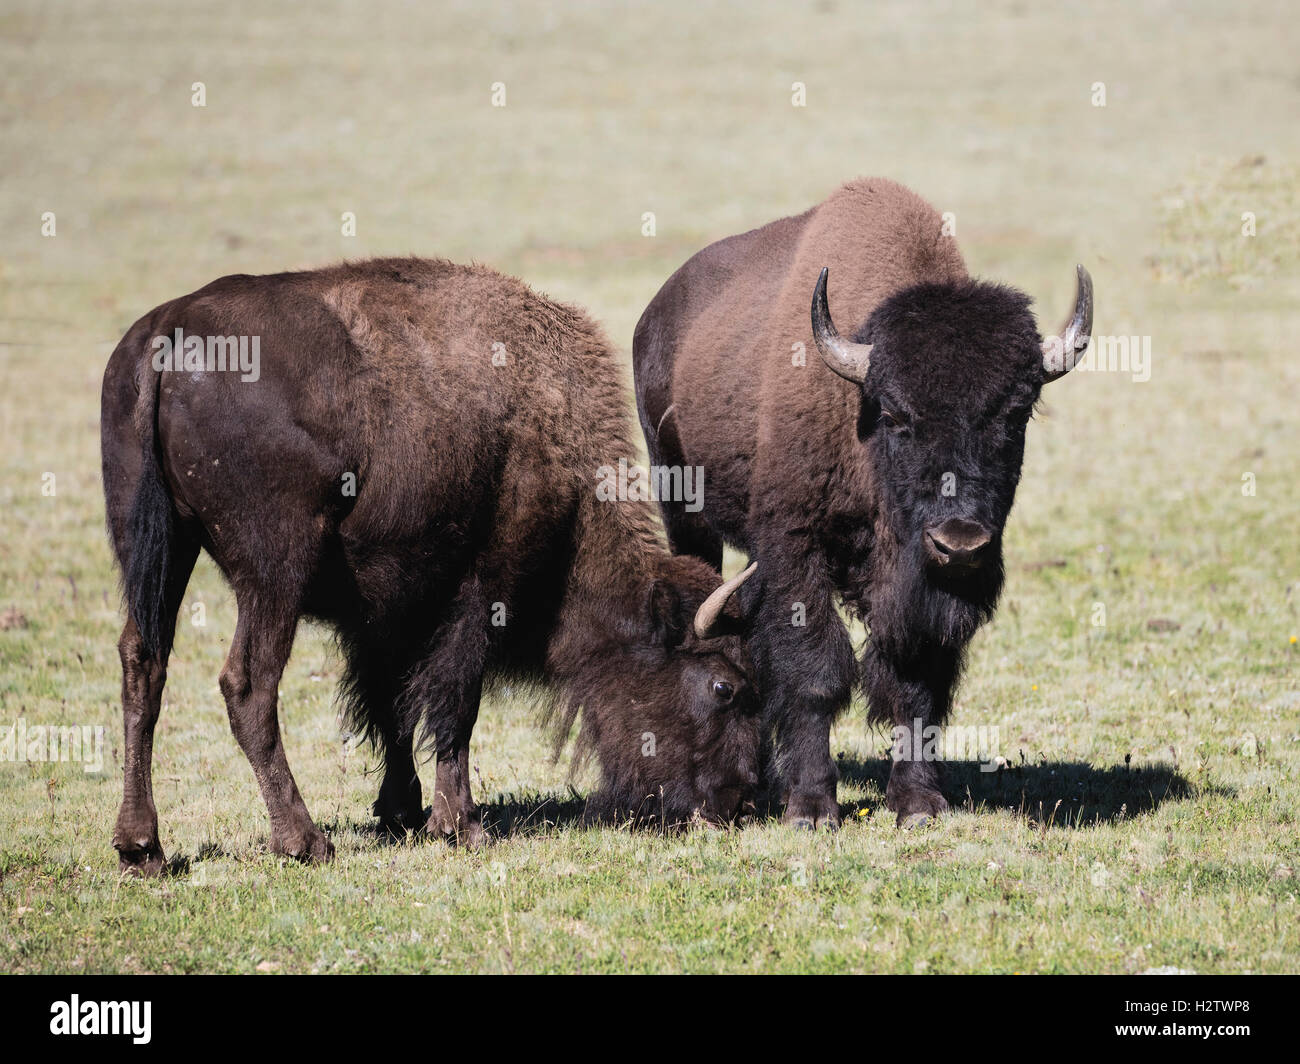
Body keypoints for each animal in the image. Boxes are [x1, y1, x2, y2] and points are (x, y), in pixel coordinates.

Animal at [102, 257, 760, 874]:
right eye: (723, 687)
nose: (737, 803)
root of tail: (170, 328)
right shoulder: (483, 585)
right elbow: (455, 697)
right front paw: (460, 823)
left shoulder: (387, 611)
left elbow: (392, 702)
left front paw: (402, 811)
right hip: (274, 571)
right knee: (248, 685)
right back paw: (304, 841)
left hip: (156, 552)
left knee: (143, 664)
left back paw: (142, 848)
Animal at [634, 178, 1092, 828]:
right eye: (897, 414)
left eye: (1016, 410)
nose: (959, 542)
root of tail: (655, 315)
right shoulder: (795, 550)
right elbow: (815, 671)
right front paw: (811, 807)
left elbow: (915, 678)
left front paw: (919, 802)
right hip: (679, 498)